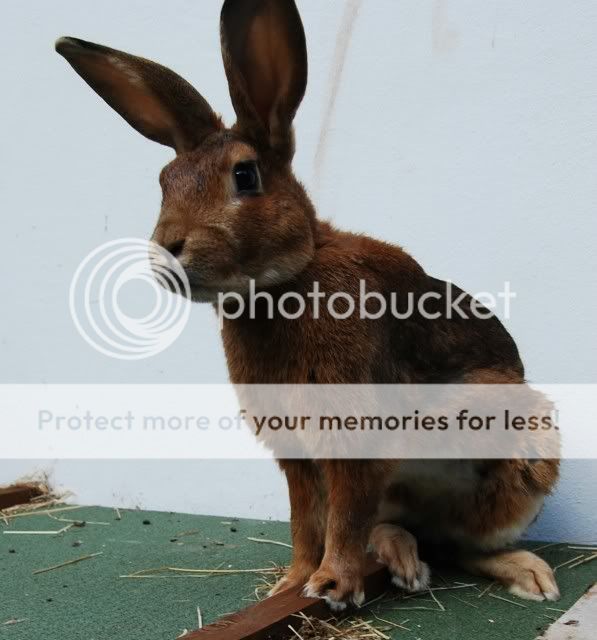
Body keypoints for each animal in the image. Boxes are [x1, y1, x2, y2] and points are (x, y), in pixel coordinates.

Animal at [56, 0, 560, 609]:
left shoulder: (354, 432)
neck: (283, 283)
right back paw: (404, 560)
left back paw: (528, 575)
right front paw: (293, 583)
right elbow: (306, 520)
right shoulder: (294, 447)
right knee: (409, 532)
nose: (167, 248)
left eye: (244, 175)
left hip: (522, 462)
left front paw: (333, 584)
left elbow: (340, 516)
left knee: (461, 542)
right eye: (164, 181)